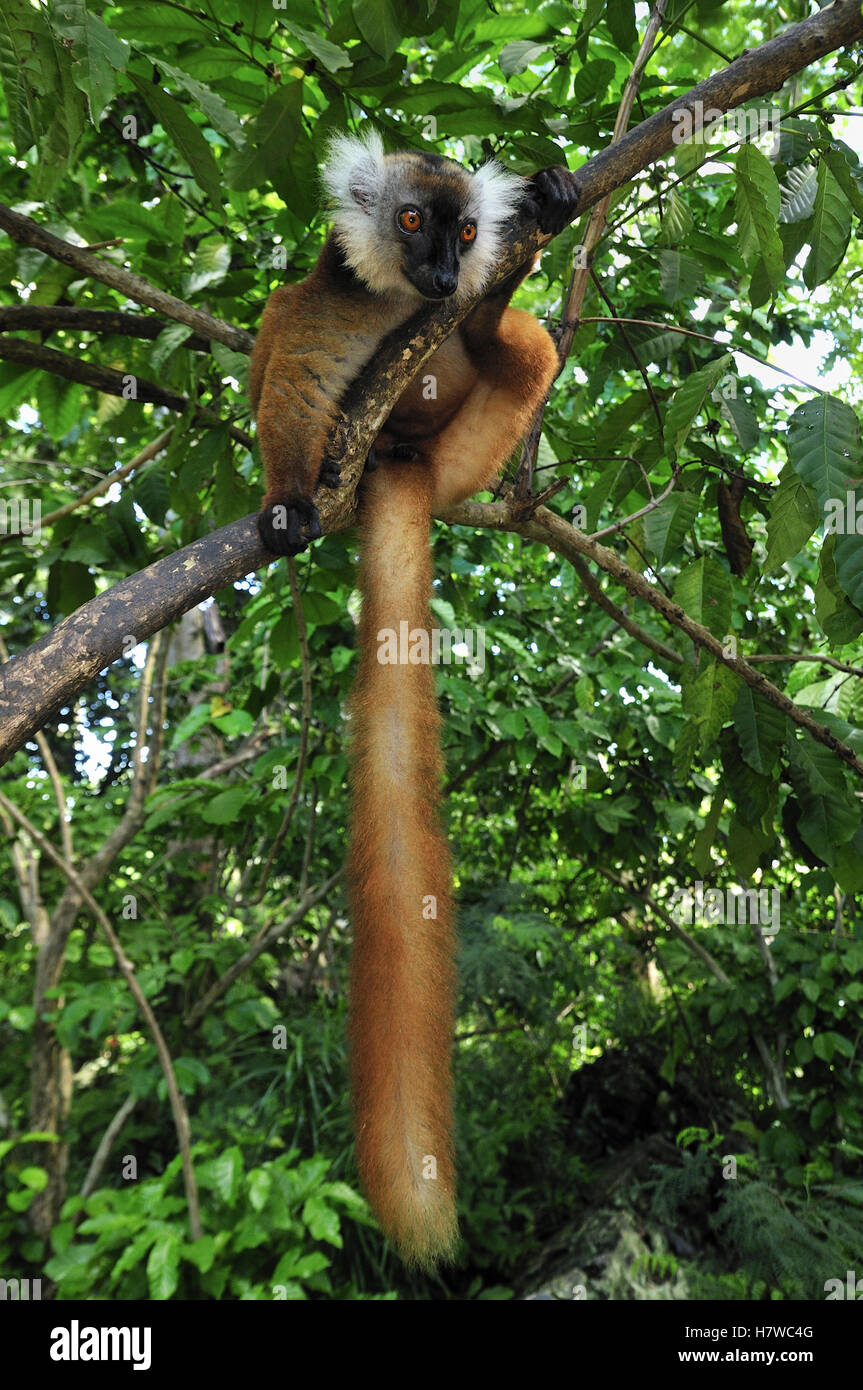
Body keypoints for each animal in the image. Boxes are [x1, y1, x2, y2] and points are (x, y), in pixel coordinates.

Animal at [249, 130, 578, 1266]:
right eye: (408, 222)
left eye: (465, 229)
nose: (443, 274)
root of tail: (402, 465)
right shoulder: (329, 299)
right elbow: (292, 365)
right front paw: (285, 504)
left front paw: (543, 211)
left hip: (466, 454)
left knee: (527, 353)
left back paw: (492, 330)